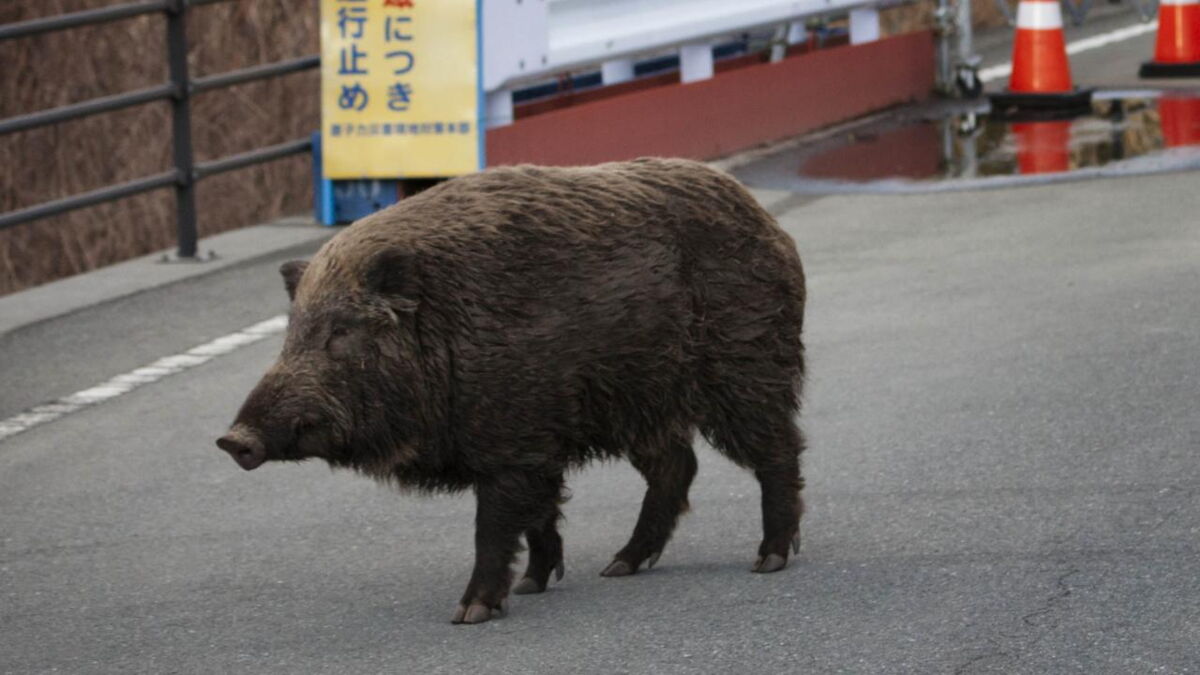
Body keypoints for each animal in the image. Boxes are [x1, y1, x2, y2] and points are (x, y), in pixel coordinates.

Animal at [216, 158, 807, 624]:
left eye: (340, 332)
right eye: (291, 333)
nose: (232, 439)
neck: (444, 333)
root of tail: (765, 219)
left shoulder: (513, 440)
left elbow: (495, 526)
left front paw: (469, 614)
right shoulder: (535, 446)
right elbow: (540, 517)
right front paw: (531, 586)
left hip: (746, 367)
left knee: (778, 450)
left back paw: (768, 560)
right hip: (642, 405)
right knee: (677, 466)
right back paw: (619, 566)